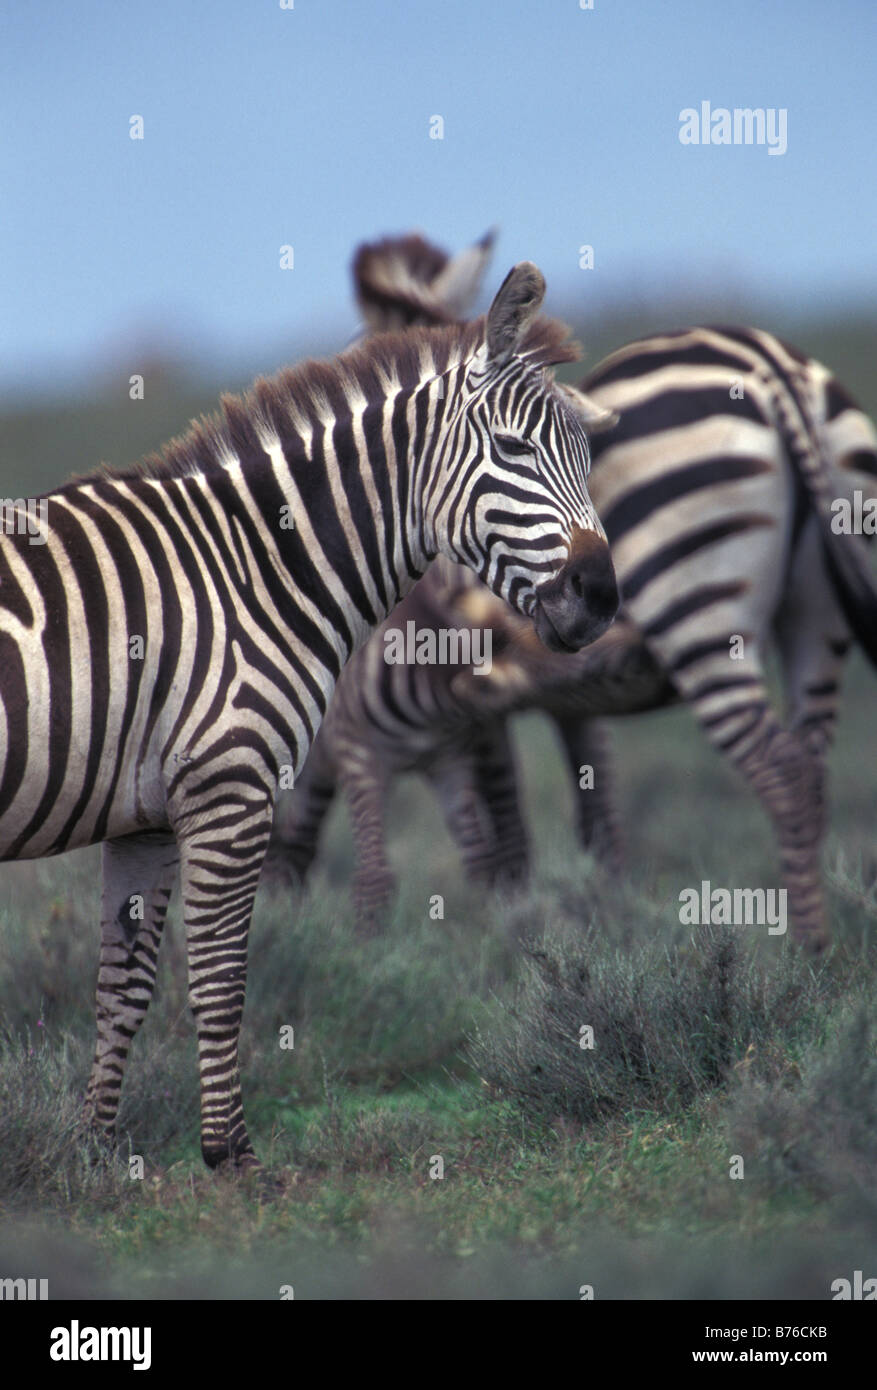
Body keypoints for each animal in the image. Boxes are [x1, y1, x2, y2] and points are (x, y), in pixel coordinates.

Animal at [0, 260, 620, 1170]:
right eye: (513, 450)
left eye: (588, 456)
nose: (601, 598)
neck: (251, 568)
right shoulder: (230, 787)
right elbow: (221, 973)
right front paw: (231, 1154)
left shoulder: (146, 817)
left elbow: (127, 982)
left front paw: (98, 1151)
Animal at [270, 234, 877, 949]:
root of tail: (771, 367)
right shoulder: (561, 696)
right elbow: (595, 822)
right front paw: (601, 925)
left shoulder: (483, 705)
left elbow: (508, 838)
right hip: (816, 618)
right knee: (810, 767)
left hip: (698, 614)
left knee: (781, 772)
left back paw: (804, 952)